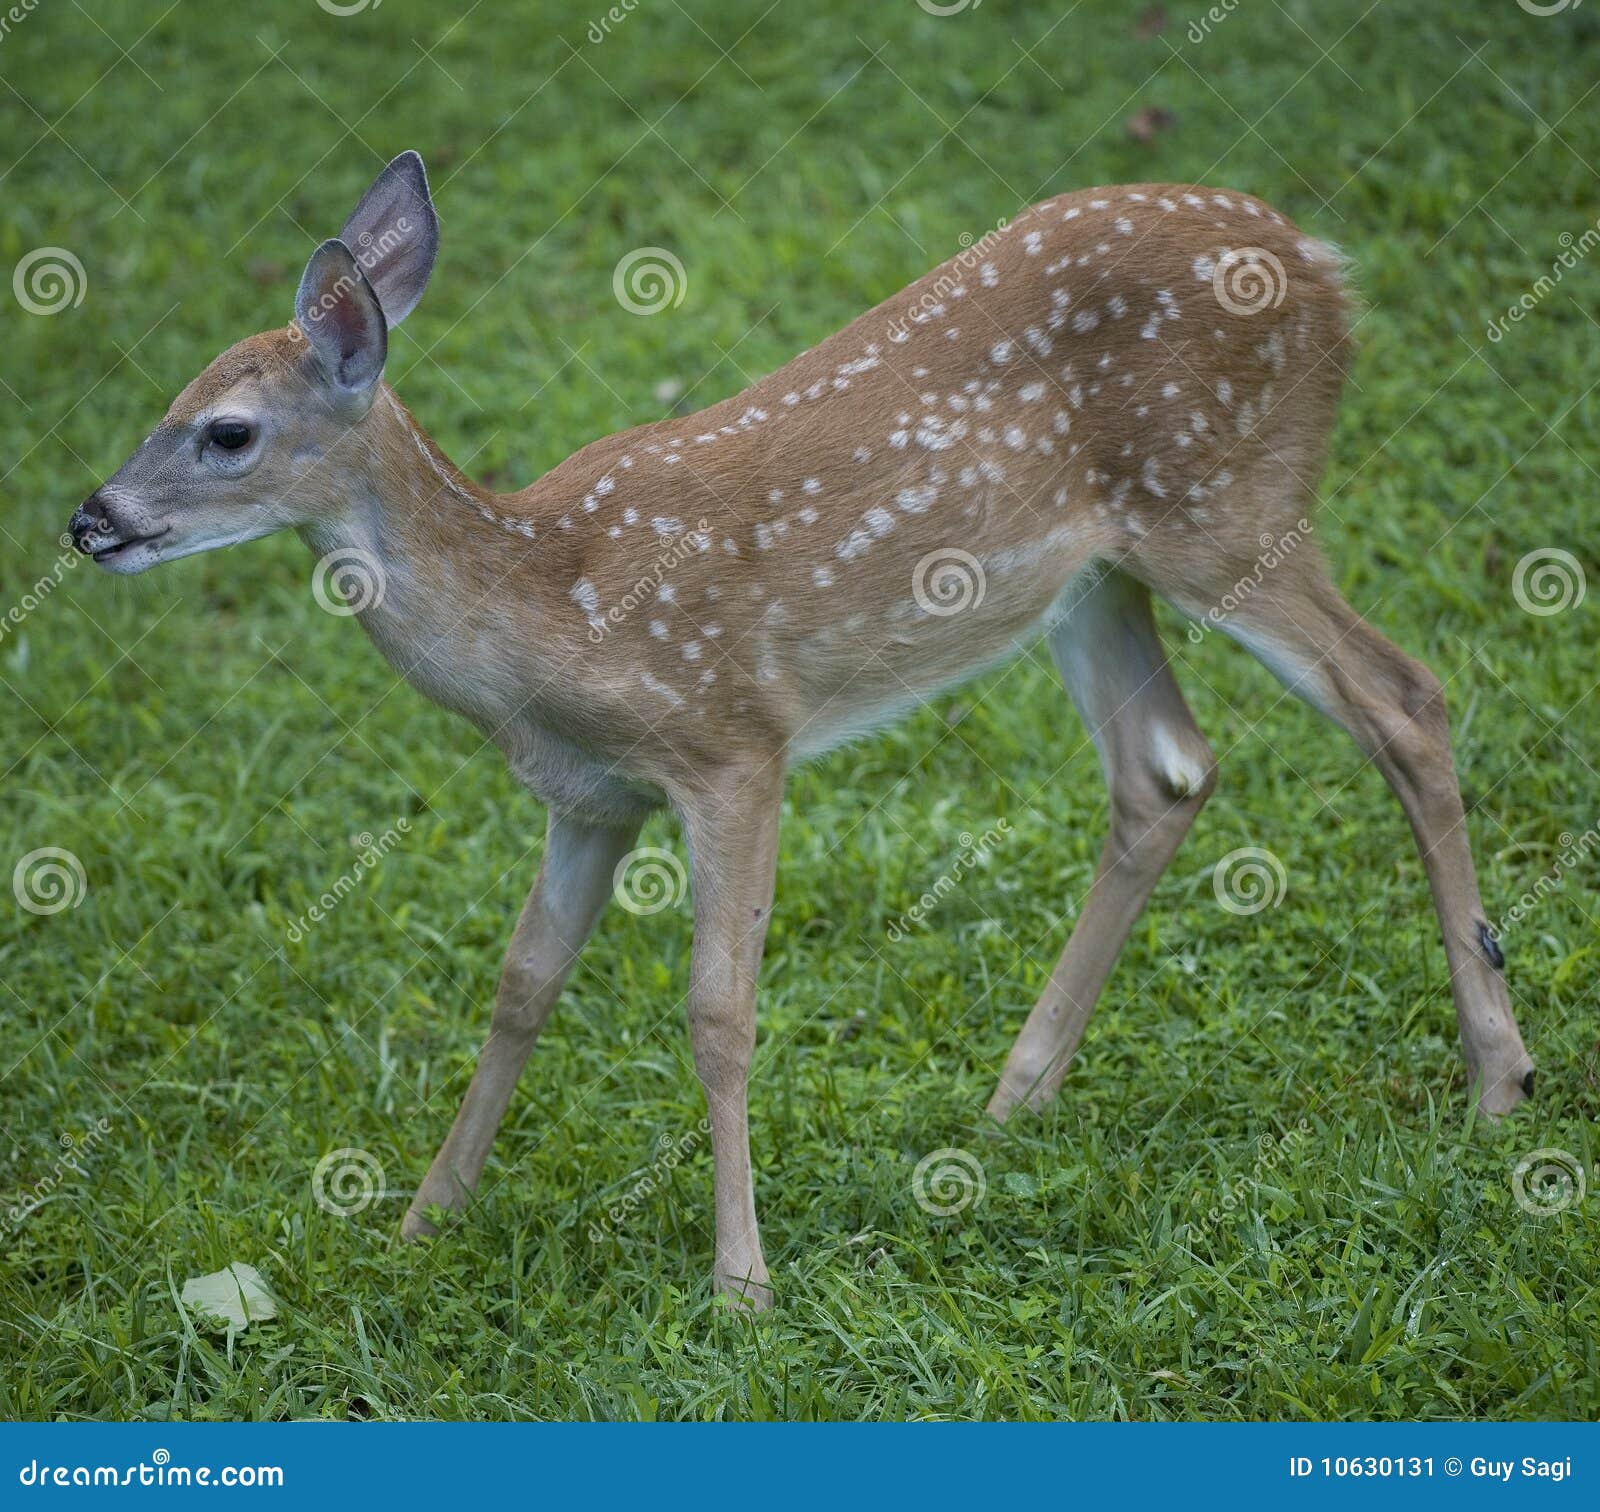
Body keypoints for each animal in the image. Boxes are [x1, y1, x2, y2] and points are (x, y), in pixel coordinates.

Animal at [69, 152, 1534, 1308]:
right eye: (165, 402)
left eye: (225, 431)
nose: (90, 518)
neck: (545, 610)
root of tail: (1326, 264)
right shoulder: (588, 798)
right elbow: (521, 986)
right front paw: (426, 1222)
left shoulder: (731, 743)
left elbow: (719, 1008)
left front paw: (741, 1283)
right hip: (1095, 576)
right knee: (1166, 768)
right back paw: (1013, 1099)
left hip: (1224, 506)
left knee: (1405, 698)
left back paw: (1498, 1080)